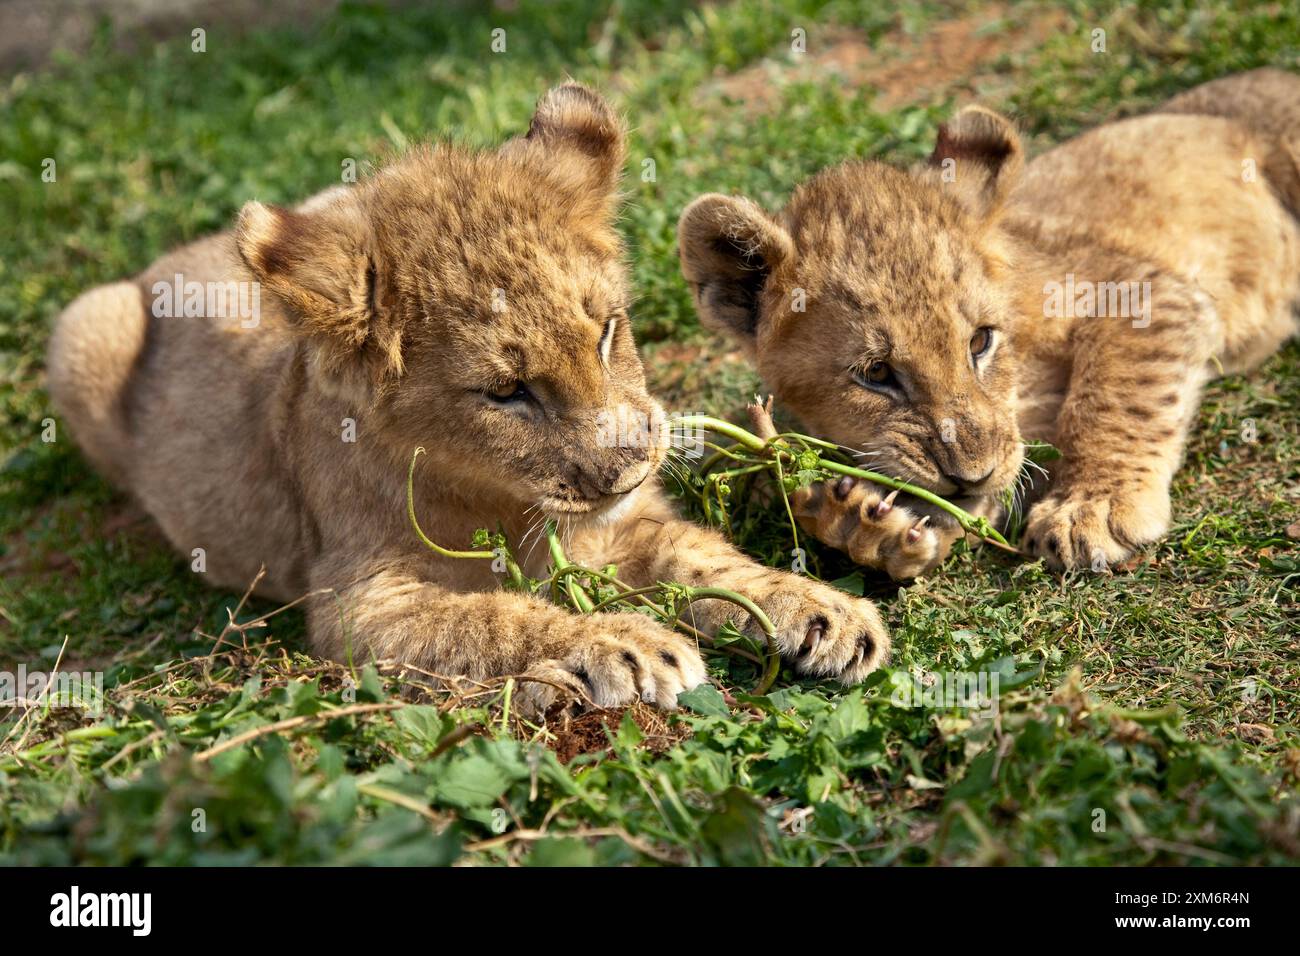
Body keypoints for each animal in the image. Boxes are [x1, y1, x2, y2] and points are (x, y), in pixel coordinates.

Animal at [46, 84, 889, 713]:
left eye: (606, 332)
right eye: (506, 392)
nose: (629, 468)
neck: (500, 496)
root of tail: (171, 258)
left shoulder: (622, 526)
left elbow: (704, 558)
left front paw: (822, 609)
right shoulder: (357, 603)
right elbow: (488, 618)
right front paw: (618, 642)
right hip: (81, 326)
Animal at [678, 69, 1300, 577]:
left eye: (979, 341)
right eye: (876, 374)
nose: (971, 475)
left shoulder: (1142, 287)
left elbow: (1117, 396)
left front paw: (1091, 508)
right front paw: (863, 523)